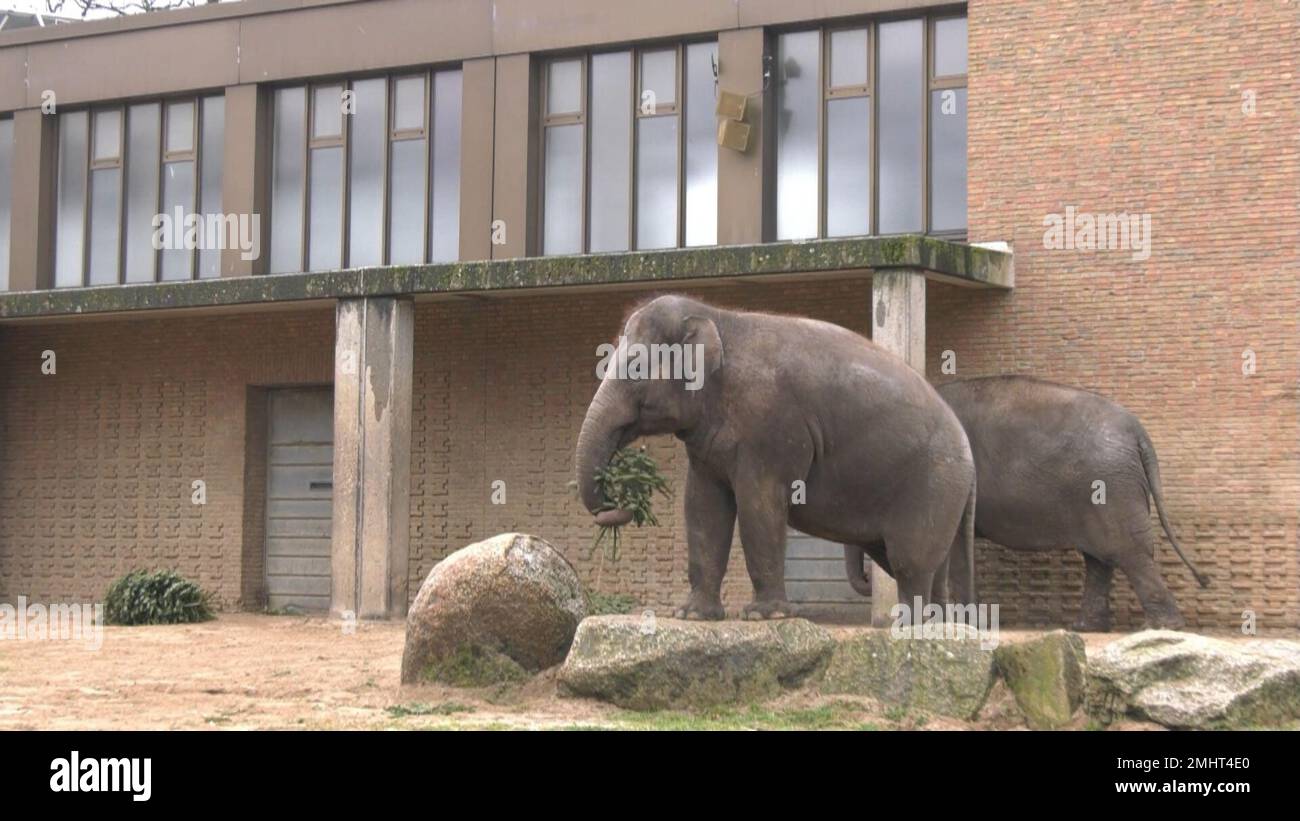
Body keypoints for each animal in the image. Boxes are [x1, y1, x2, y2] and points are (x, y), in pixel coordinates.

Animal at [574, 294, 976, 621]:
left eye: (635, 368)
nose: (620, 500)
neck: (718, 318)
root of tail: (967, 449)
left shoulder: (770, 428)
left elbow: (759, 504)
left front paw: (765, 616)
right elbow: (703, 507)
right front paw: (692, 615)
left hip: (933, 482)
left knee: (910, 560)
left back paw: (909, 625)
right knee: (927, 562)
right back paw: (936, 624)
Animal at [935, 375, 1210, 631]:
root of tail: (1137, 432)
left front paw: (962, 624)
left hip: (1112, 486)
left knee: (1130, 552)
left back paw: (1158, 627)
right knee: (1100, 559)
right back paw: (1086, 627)